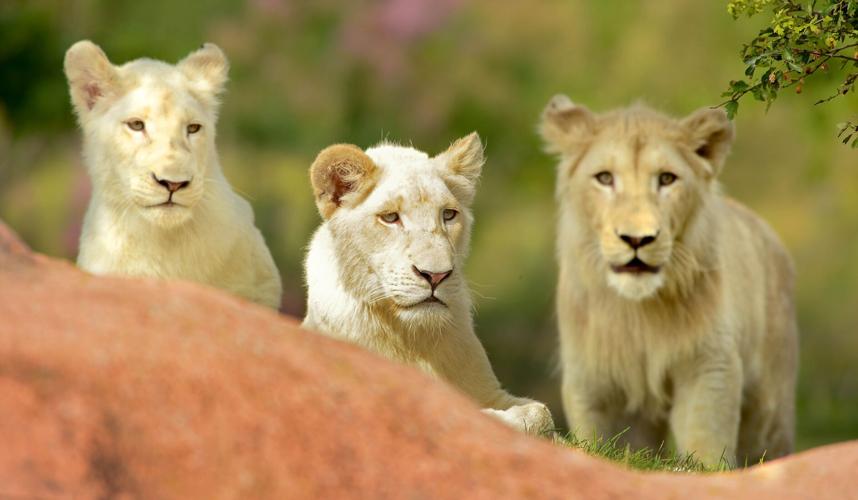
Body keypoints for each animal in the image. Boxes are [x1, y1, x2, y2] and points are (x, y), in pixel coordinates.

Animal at [302, 134, 554, 435]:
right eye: (390, 217)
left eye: (448, 214)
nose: (436, 275)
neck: (415, 338)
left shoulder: (491, 391)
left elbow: (542, 413)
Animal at [540, 95, 798, 466]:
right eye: (604, 178)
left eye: (666, 179)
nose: (637, 239)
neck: (639, 313)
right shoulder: (591, 379)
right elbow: (598, 442)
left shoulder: (708, 365)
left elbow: (705, 441)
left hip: (770, 407)